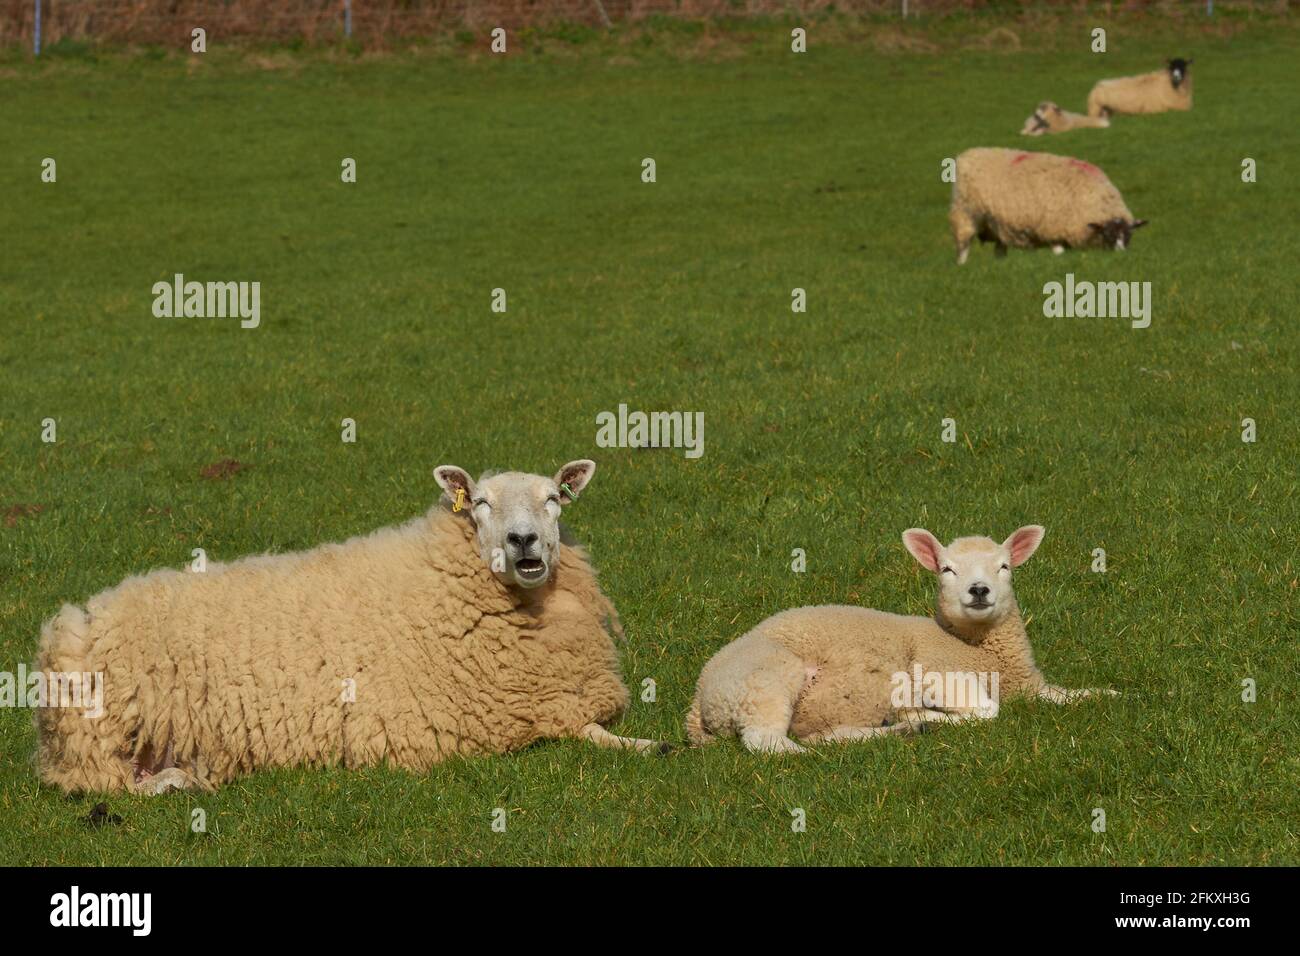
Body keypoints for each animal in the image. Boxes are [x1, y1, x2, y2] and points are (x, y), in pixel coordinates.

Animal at [34, 459, 663, 794]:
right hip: (102, 740)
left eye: (555, 497)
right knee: (108, 783)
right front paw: (649, 746)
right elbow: (592, 733)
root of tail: (80, 623)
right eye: (480, 502)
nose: (523, 540)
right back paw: (182, 781)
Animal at [685, 526, 1116, 753]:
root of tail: (699, 699)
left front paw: (1108, 695)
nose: (979, 590)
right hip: (766, 678)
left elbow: (1072, 695)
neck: (972, 645)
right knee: (768, 742)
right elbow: (987, 712)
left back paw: (897, 730)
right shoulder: (939, 673)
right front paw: (926, 714)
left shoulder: (1031, 687)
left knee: (828, 735)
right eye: (946, 569)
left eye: (1005, 566)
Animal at [949, 147, 1148, 264]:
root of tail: (967, 154)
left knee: (1000, 247)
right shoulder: (1053, 229)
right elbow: (1059, 252)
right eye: (1108, 234)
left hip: (997, 224)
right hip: (965, 213)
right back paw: (962, 265)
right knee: (963, 244)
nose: (1120, 255)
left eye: (1128, 235)